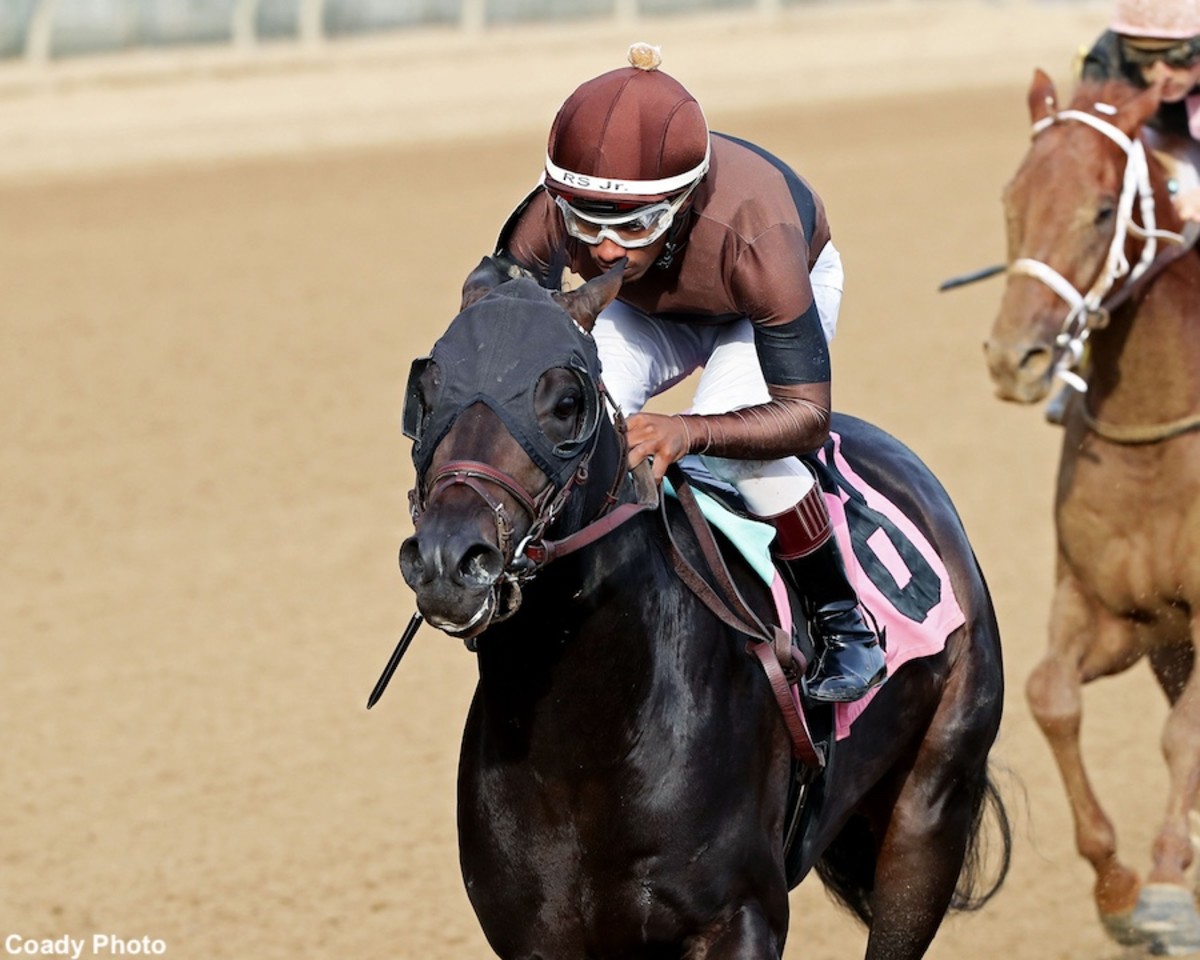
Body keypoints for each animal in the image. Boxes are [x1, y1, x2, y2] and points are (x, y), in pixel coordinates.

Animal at [398, 257, 1010, 958]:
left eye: (567, 404)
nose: (448, 559)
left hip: (929, 812)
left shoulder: (739, 917)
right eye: (426, 393)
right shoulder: (536, 937)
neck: (585, 740)